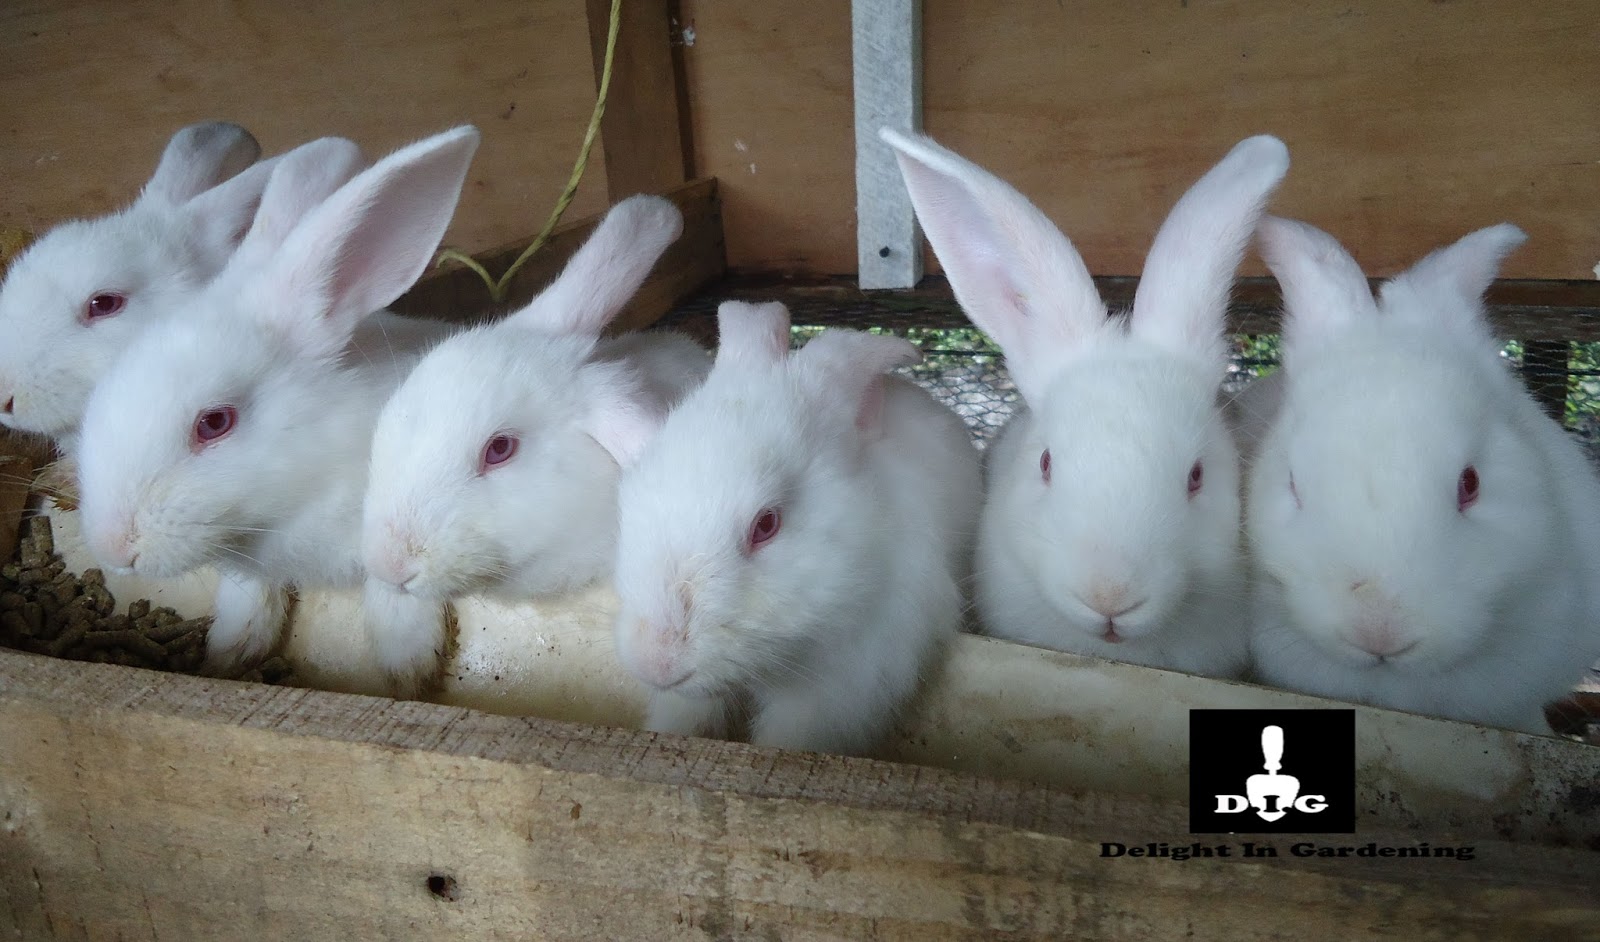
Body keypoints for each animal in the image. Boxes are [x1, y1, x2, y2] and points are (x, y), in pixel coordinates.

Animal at [74, 126, 479, 685]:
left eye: (214, 423)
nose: (114, 547)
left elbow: (397, 588)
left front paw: (409, 668)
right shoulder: (251, 564)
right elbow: (251, 594)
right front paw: (231, 652)